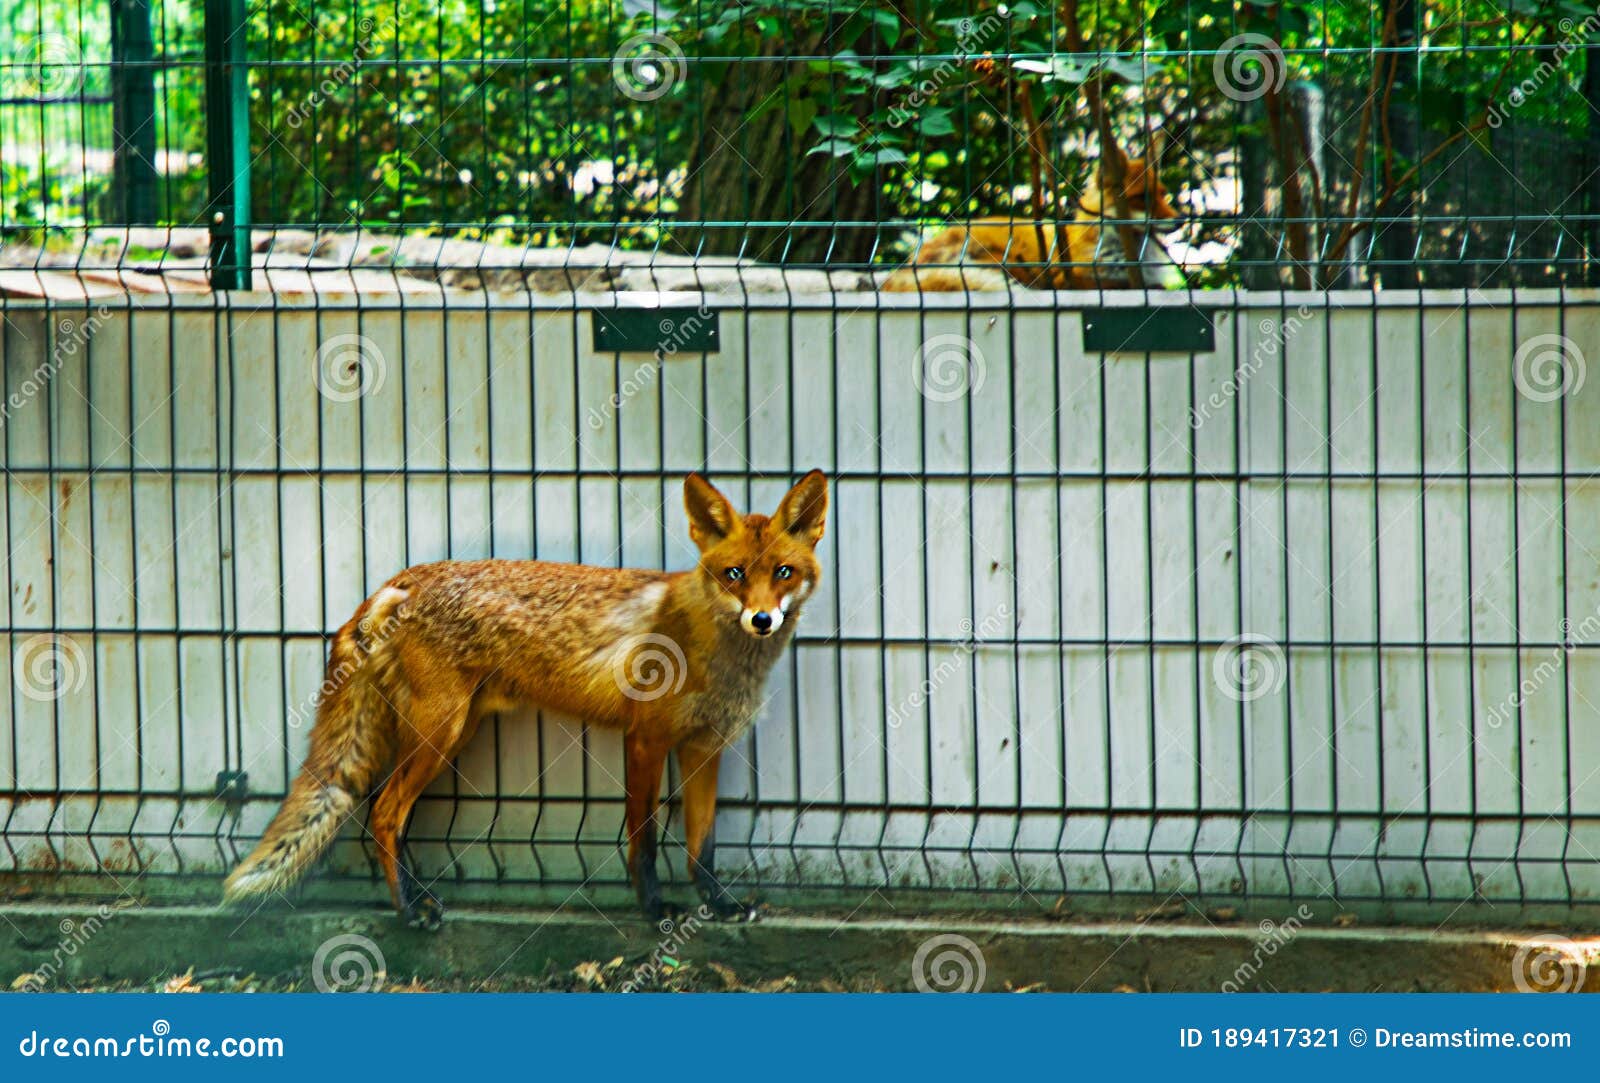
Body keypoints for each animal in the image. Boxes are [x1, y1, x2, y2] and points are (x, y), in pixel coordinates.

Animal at [223, 469, 828, 928]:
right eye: (733, 574)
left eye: (783, 572)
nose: (762, 619)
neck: (711, 646)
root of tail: (403, 580)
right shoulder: (646, 740)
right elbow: (645, 843)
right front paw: (654, 910)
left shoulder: (704, 747)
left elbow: (703, 848)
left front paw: (719, 906)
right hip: (439, 734)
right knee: (384, 812)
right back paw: (409, 911)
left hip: (454, 732)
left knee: (387, 814)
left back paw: (413, 899)